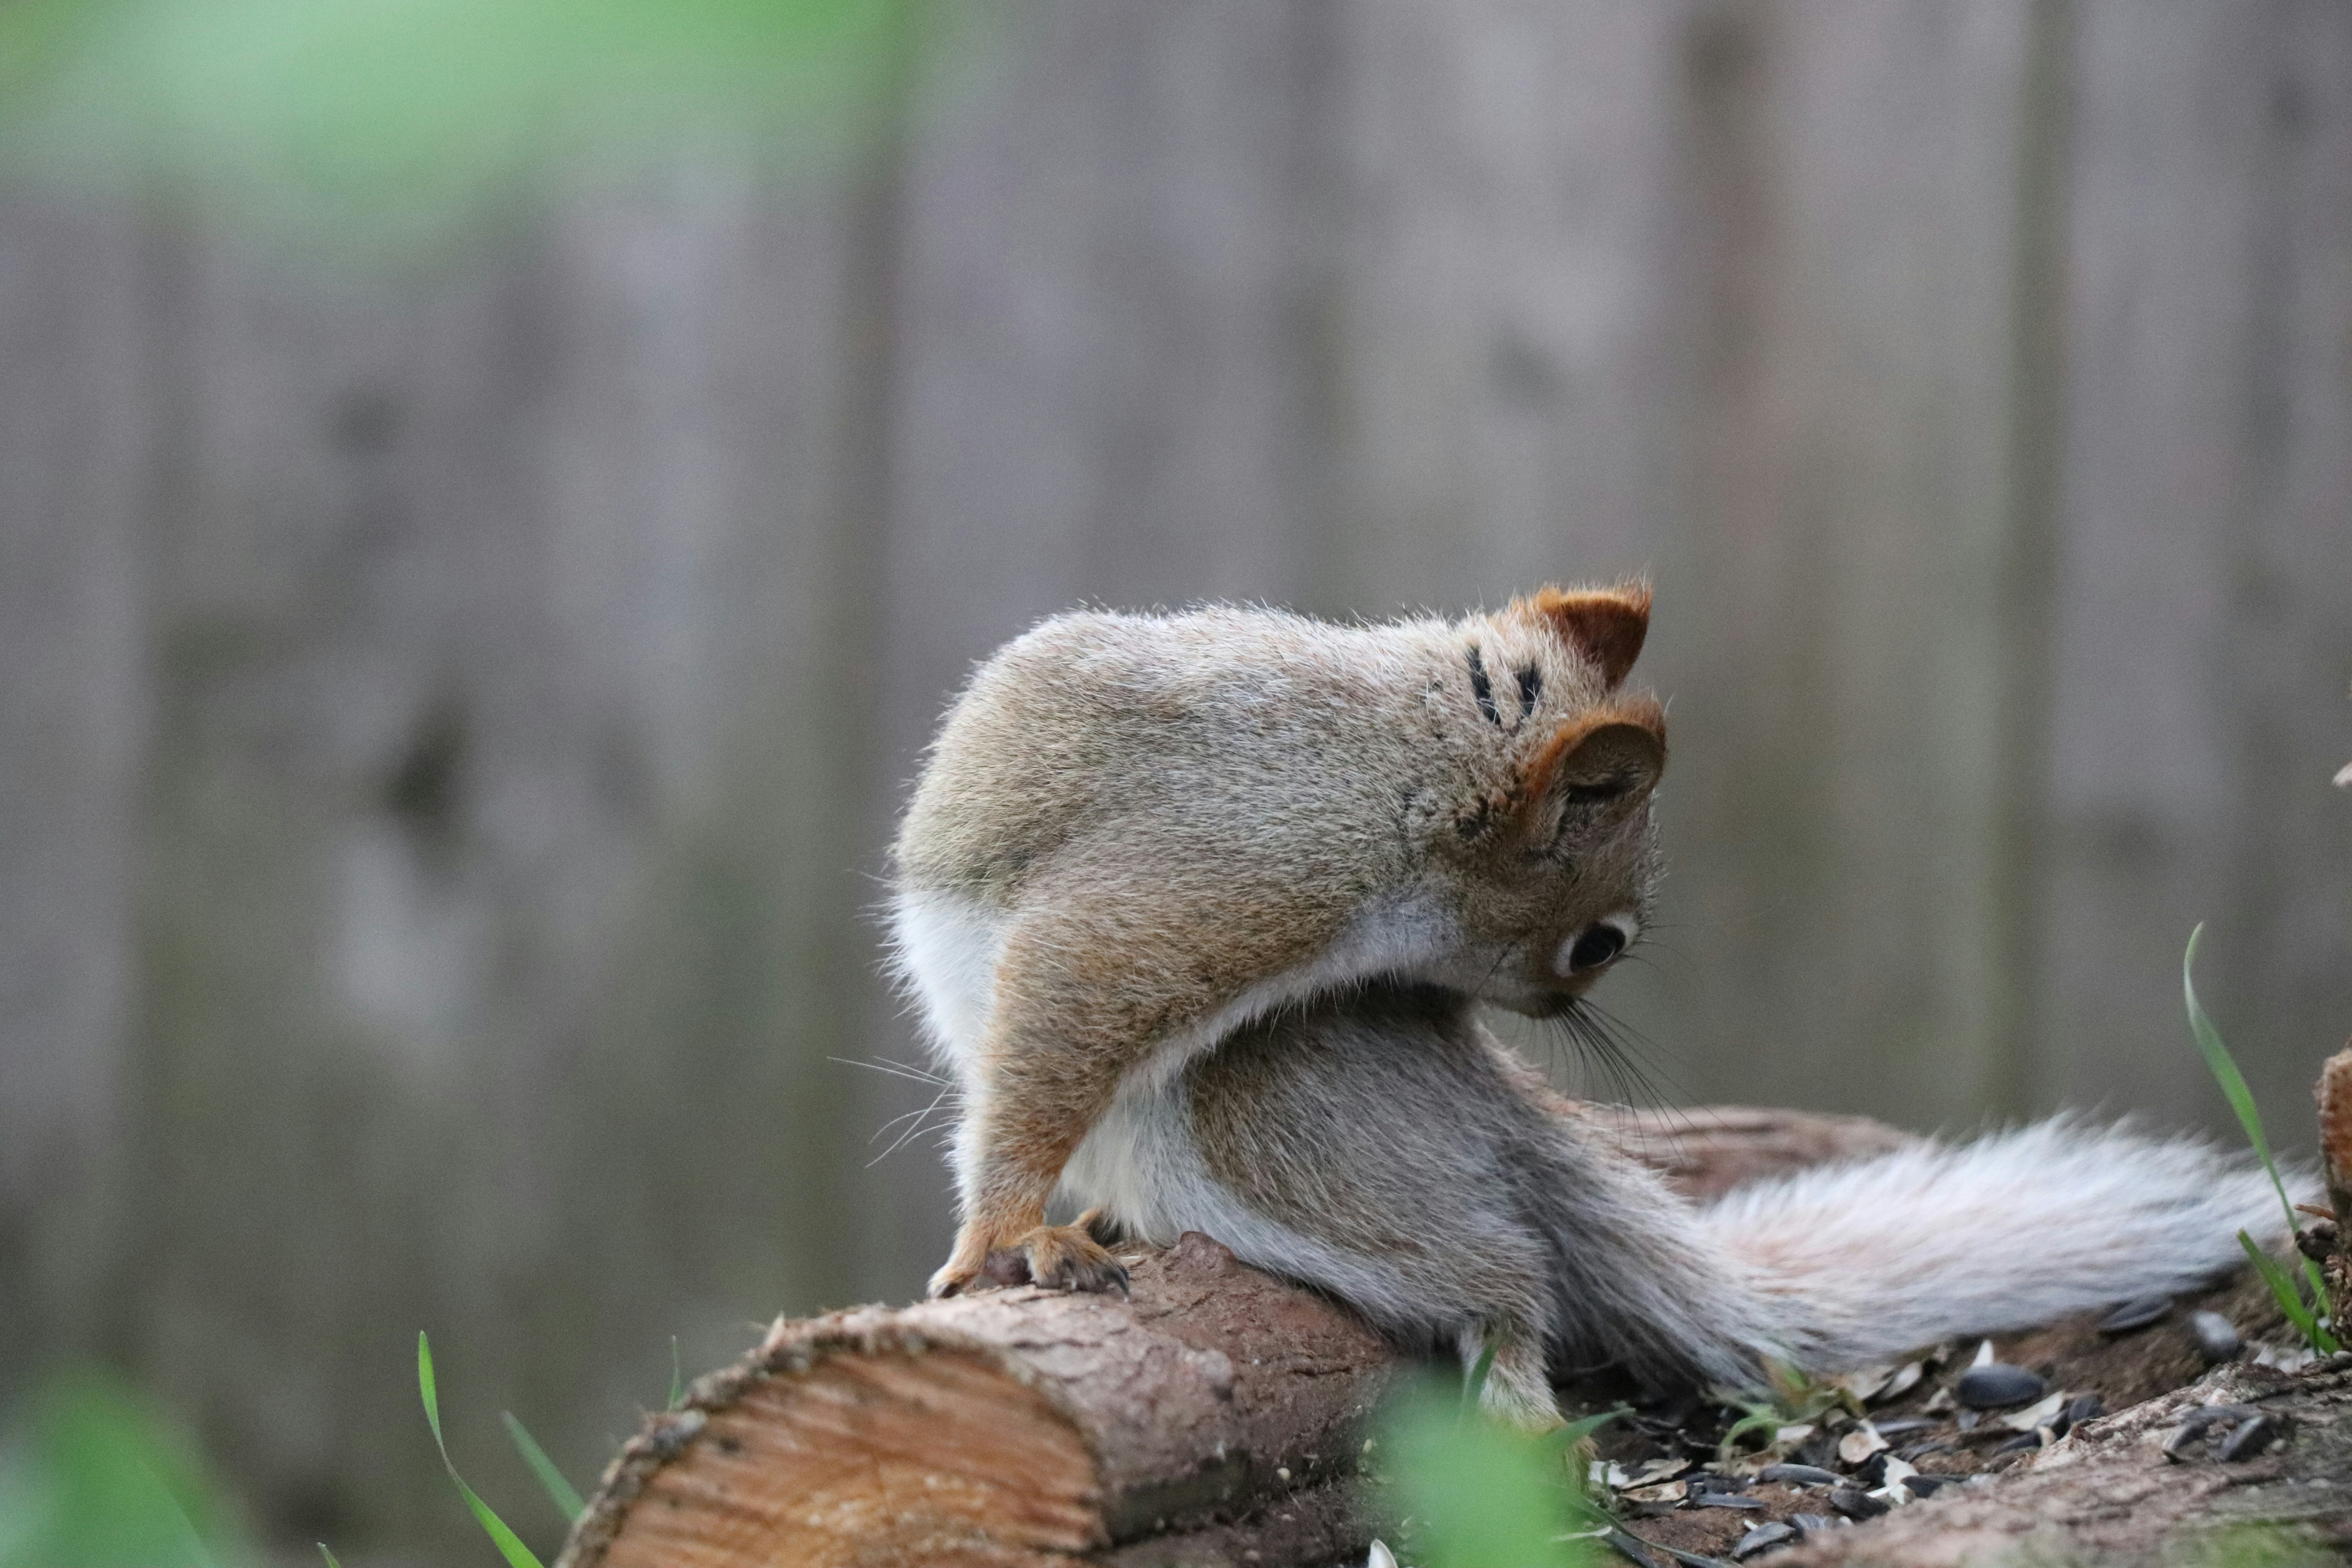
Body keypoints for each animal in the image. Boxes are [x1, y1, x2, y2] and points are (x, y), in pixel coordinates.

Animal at [889, 584, 2295, 1427]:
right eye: (1600, 941)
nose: (1572, 1014)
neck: (1386, 777)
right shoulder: (1213, 884)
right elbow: (1067, 1014)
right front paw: (1005, 1233)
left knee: (1508, 1278)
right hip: (1254, 1125)